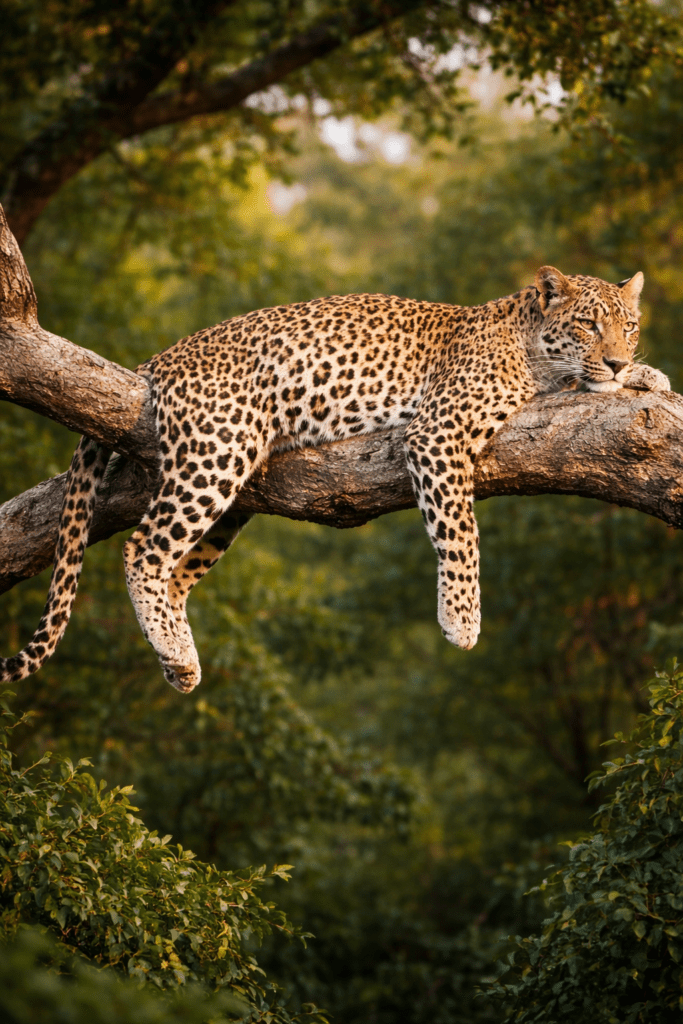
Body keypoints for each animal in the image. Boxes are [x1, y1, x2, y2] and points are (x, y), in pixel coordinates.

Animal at [0, 266, 670, 692]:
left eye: (629, 326)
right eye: (587, 324)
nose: (617, 359)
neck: (530, 339)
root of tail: (159, 358)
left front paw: (646, 375)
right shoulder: (438, 431)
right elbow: (460, 534)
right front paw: (461, 620)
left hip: (235, 497)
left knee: (177, 573)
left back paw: (180, 661)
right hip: (217, 451)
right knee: (144, 550)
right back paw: (174, 649)